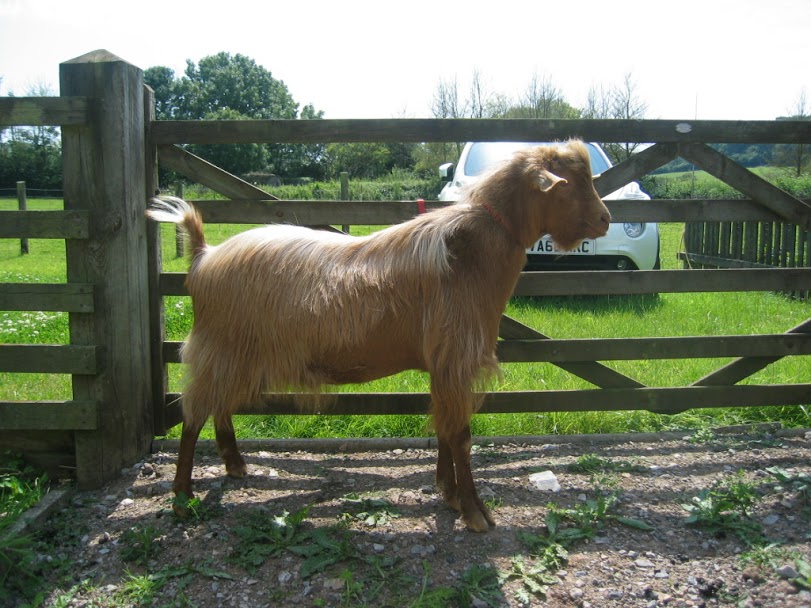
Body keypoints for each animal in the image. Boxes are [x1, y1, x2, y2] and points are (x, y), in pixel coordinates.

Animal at [146, 140, 610, 532]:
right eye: (572, 182)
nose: (605, 219)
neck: (475, 248)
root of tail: (203, 257)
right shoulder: (457, 357)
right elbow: (461, 434)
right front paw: (475, 512)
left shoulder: (443, 364)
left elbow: (444, 427)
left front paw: (449, 494)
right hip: (220, 348)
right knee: (194, 415)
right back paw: (182, 496)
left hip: (236, 352)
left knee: (219, 407)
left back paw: (234, 465)